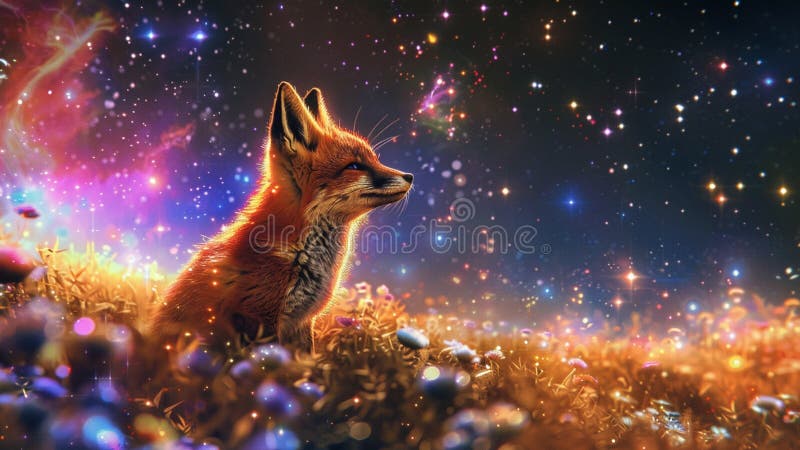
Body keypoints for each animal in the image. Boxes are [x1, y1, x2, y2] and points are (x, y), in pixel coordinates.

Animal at [152, 82, 413, 353]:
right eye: (354, 166)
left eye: (374, 159)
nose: (410, 176)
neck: (299, 250)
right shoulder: (259, 319)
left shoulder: (300, 323)